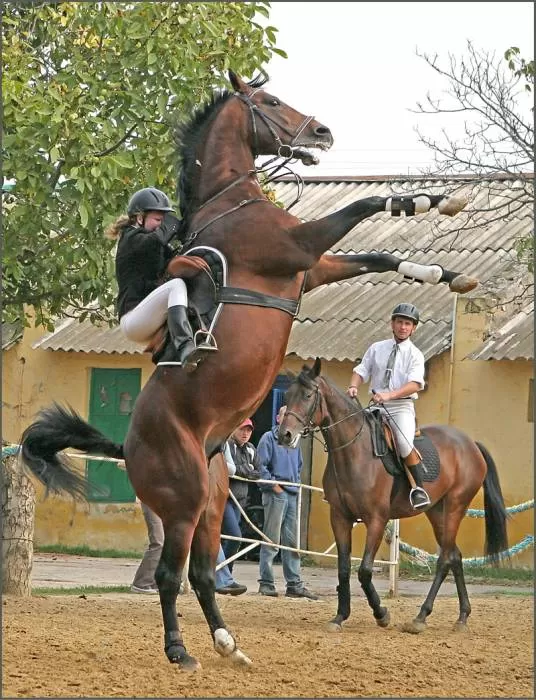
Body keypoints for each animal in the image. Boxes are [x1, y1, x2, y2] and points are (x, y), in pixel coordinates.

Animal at [19, 69, 474, 668]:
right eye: (272, 101)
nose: (323, 132)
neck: (231, 202)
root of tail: (129, 444)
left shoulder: (314, 267)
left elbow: (378, 255)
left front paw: (444, 255)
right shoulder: (299, 247)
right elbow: (364, 203)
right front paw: (432, 204)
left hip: (212, 503)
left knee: (202, 574)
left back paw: (228, 644)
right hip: (183, 503)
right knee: (170, 575)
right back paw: (180, 650)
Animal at [278, 360, 508, 636]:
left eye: (308, 396)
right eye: (287, 395)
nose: (284, 435)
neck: (354, 452)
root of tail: (470, 444)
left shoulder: (377, 519)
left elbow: (365, 570)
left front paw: (381, 614)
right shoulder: (340, 517)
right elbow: (344, 569)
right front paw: (340, 616)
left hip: (455, 506)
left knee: (445, 559)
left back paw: (420, 617)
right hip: (436, 511)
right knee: (454, 556)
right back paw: (461, 616)